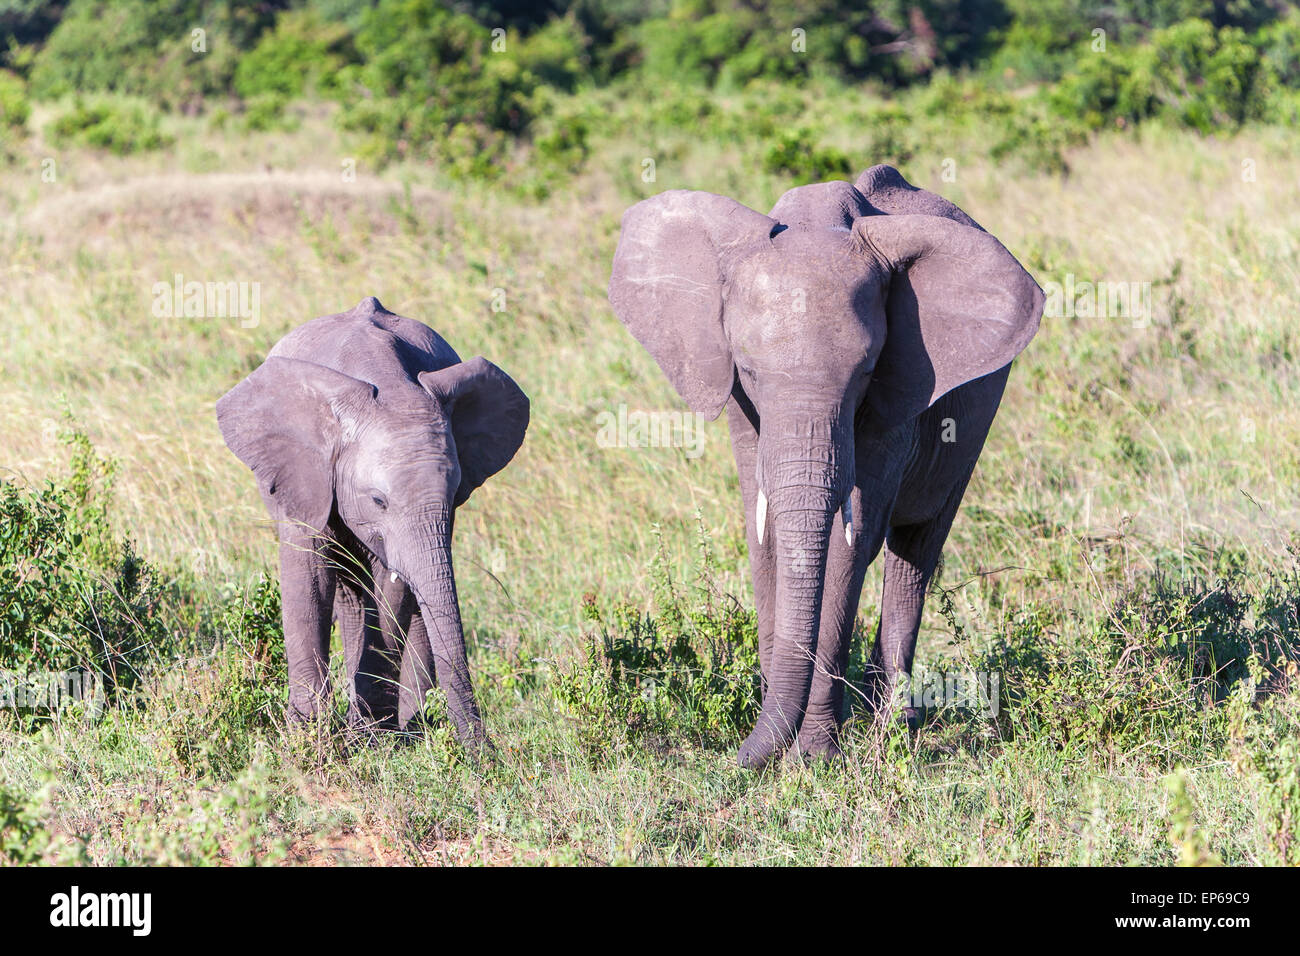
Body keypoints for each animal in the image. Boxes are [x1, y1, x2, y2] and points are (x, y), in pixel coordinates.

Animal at [217, 296, 529, 748]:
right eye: (379, 500)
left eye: (455, 494)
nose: (487, 754)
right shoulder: (304, 473)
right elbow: (308, 579)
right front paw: (307, 739)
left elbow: (394, 588)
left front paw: (370, 737)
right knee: (351, 590)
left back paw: (406, 727)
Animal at [608, 165, 1044, 769]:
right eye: (748, 369)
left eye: (864, 371)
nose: (736, 759)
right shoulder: (741, 402)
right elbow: (764, 533)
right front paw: (780, 743)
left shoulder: (899, 391)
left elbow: (848, 544)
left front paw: (811, 755)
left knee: (916, 549)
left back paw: (893, 729)